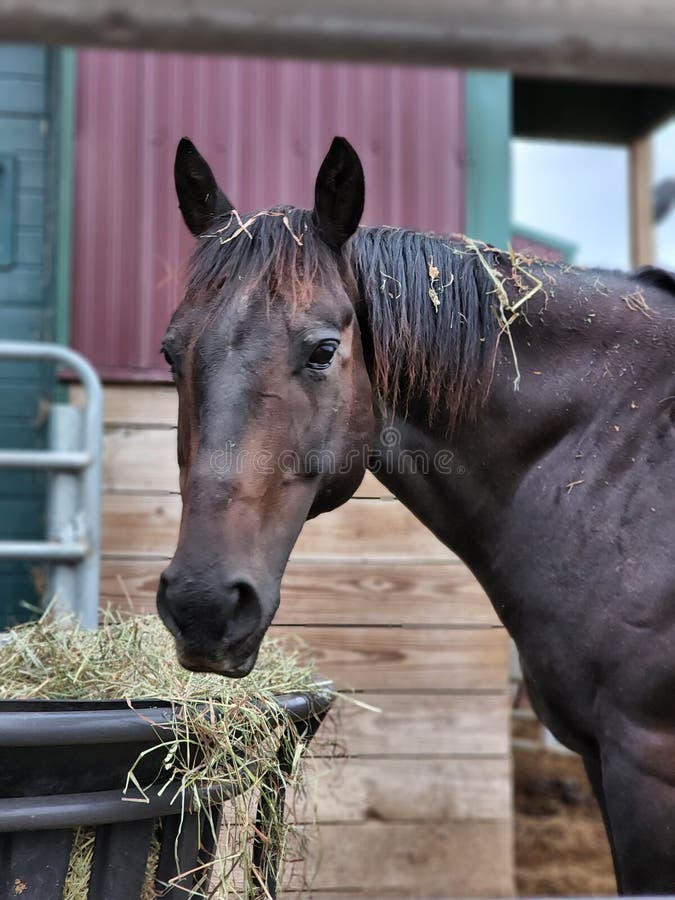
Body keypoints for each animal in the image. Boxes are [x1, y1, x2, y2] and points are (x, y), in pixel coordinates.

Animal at [157, 135, 675, 895]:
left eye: (323, 351)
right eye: (170, 353)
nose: (202, 605)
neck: (623, 454)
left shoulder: (646, 761)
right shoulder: (601, 758)